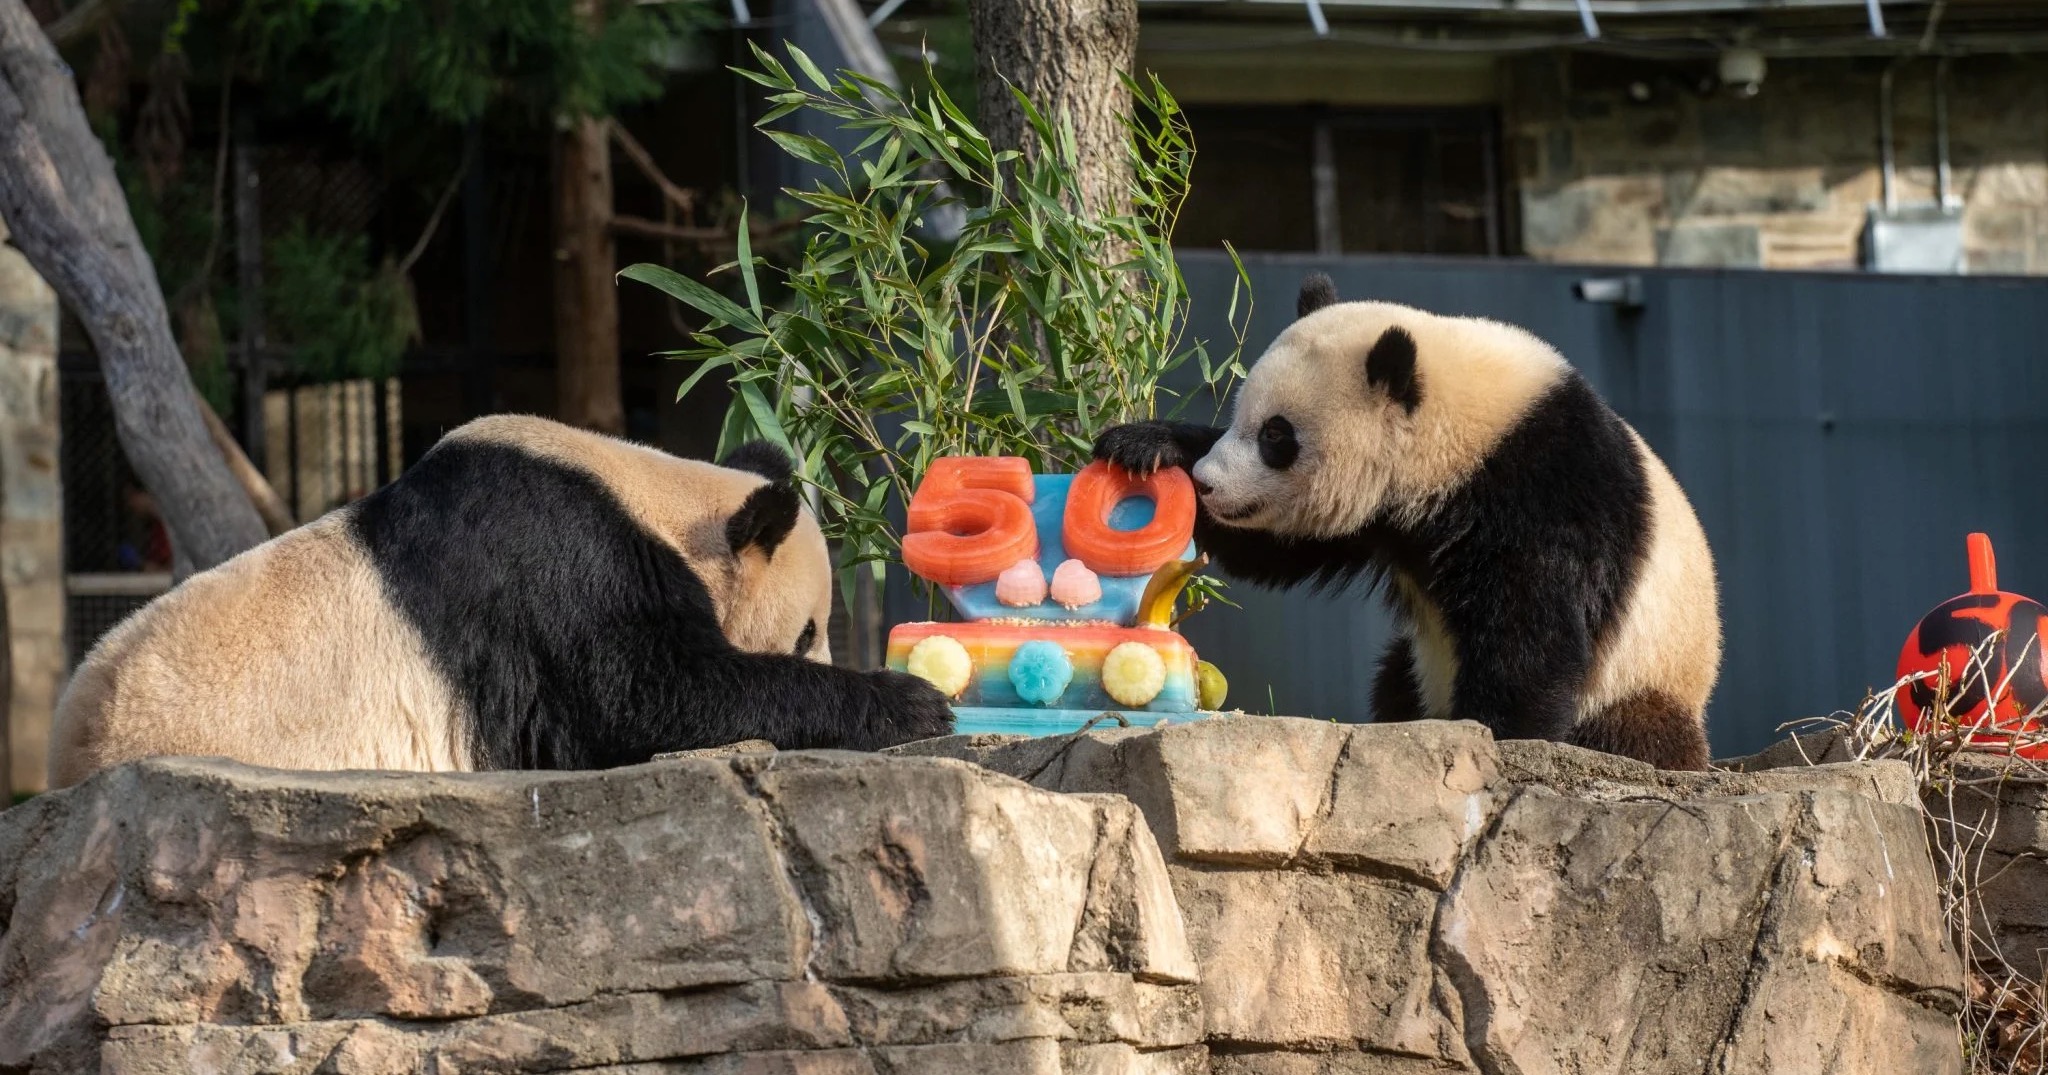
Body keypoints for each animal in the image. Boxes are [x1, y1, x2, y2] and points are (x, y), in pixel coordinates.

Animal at [48, 414, 953, 786]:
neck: (655, 499)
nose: (820, 647)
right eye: (807, 632)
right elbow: (648, 696)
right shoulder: (559, 578)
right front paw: (912, 701)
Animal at [1095, 276, 1721, 770]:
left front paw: (1495, 732)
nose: (1208, 483)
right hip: (1423, 665)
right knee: (1395, 676)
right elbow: (1276, 548)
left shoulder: (1543, 490)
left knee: (1636, 729)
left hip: (1639, 675)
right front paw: (1145, 446)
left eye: (1277, 435)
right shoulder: (1378, 518)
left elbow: (1533, 628)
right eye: (1239, 416)